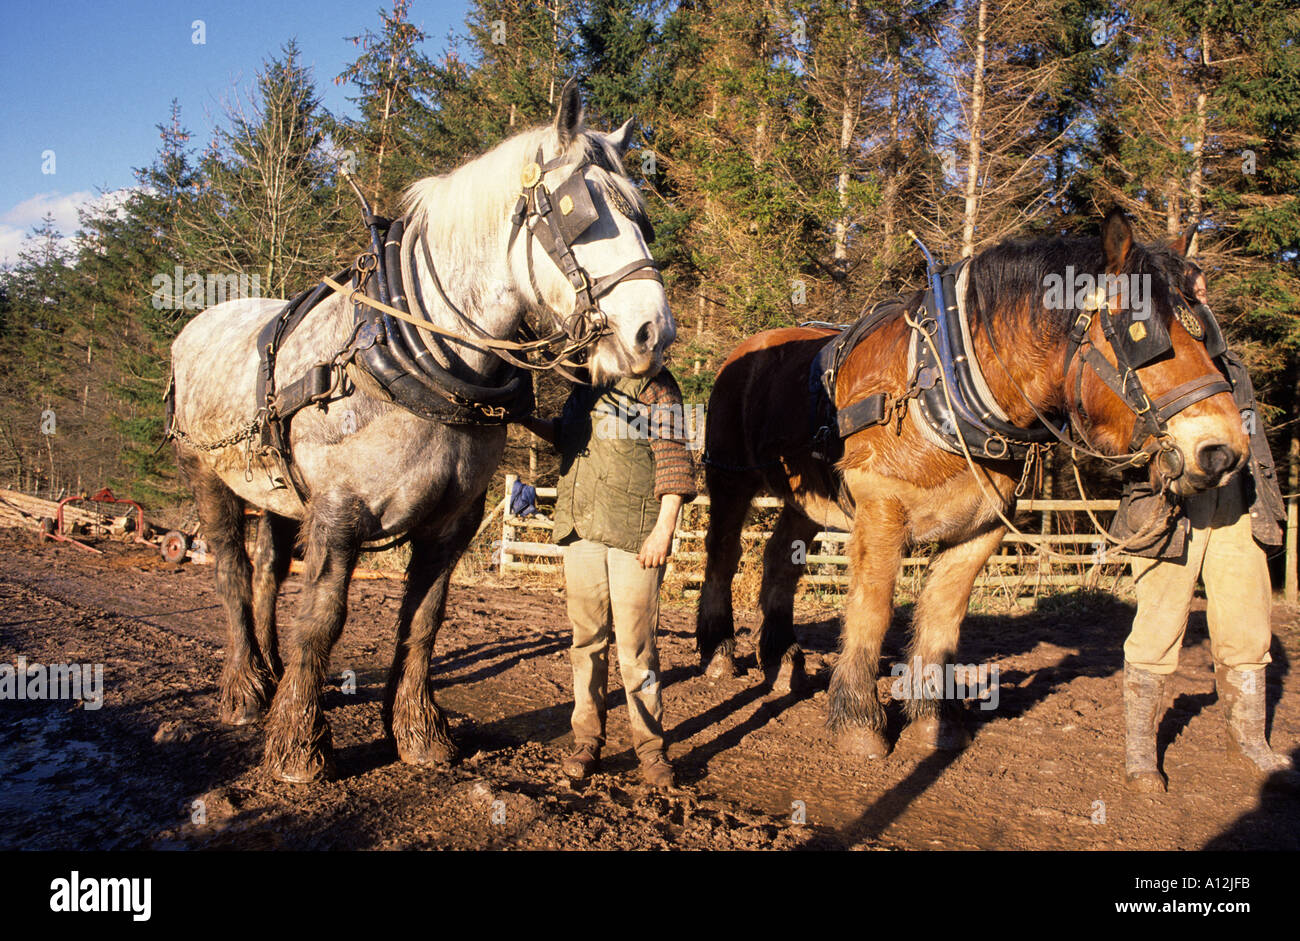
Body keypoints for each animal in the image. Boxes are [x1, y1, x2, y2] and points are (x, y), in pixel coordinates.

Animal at [169, 81, 676, 783]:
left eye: (643, 220)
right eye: (582, 213)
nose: (655, 333)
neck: (420, 360)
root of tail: (196, 324)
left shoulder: (453, 518)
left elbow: (426, 619)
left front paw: (417, 733)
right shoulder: (337, 511)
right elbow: (322, 620)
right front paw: (298, 747)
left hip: (274, 490)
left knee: (268, 568)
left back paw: (270, 674)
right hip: (206, 473)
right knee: (231, 570)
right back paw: (245, 691)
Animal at [696, 209, 1248, 759]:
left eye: (1207, 337)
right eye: (1141, 336)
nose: (1224, 451)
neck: (942, 384)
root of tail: (748, 347)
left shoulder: (982, 530)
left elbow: (942, 618)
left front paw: (932, 719)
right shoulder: (880, 510)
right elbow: (872, 610)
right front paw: (858, 721)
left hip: (809, 499)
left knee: (780, 557)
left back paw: (781, 656)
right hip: (728, 477)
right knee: (723, 552)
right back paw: (719, 651)